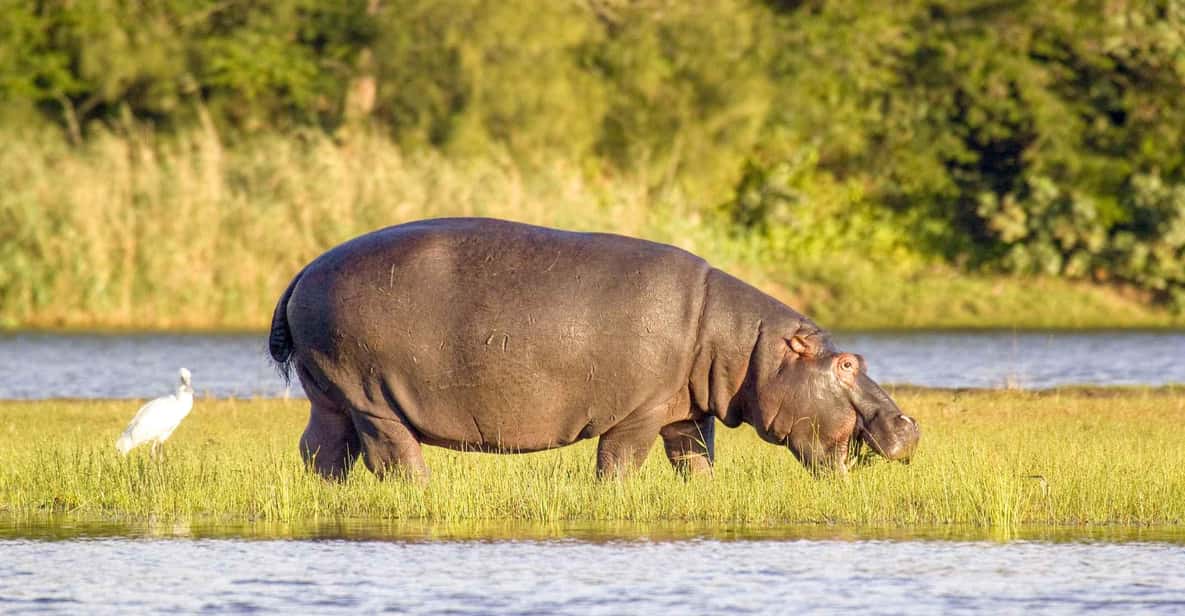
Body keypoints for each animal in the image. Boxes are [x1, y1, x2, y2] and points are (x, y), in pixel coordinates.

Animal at [269, 218, 918, 481]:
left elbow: (695, 461)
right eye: (846, 363)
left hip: (329, 392)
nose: (909, 425)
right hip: (371, 397)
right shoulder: (638, 412)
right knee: (394, 458)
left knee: (321, 451)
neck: (745, 345)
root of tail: (302, 270)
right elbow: (620, 464)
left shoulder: (685, 412)